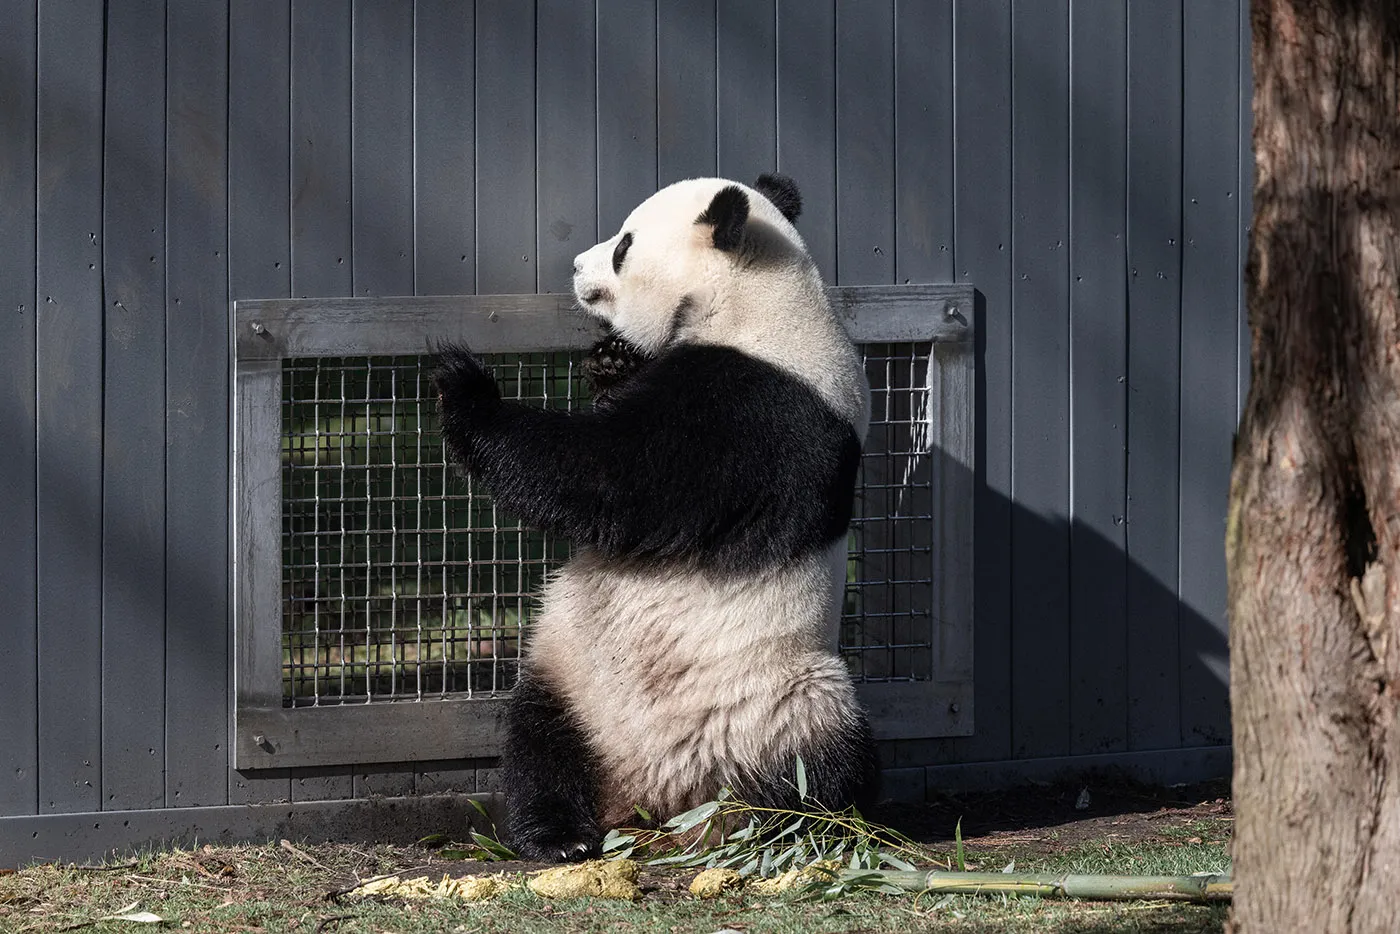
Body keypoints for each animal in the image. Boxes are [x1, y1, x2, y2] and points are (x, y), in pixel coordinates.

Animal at [434, 173, 879, 862]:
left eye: (623, 245)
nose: (576, 267)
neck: (758, 298)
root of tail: (663, 801)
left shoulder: (762, 406)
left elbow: (612, 477)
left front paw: (467, 390)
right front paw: (611, 360)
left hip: (786, 695)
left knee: (829, 757)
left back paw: (792, 829)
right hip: (571, 676)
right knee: (539, 743)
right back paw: (559, 836)